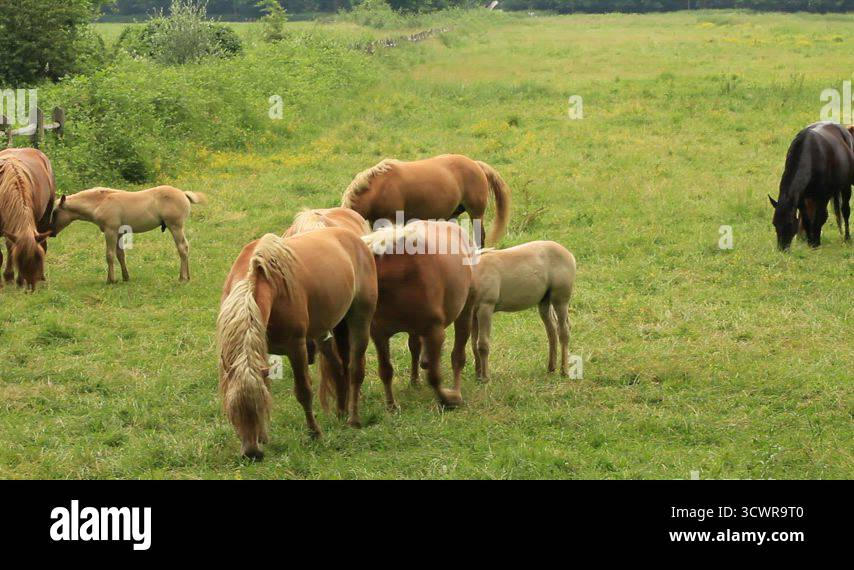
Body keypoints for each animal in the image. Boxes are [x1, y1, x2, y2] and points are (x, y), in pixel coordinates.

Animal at [50, 186, 207, 283]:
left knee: (182, 248)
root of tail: (183, 193)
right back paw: (186, 276)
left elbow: (110, 255)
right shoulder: (119, 233)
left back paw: (183, 278)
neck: (99, 202)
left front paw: (111, 280)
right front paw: (125, 277)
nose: (50, 232)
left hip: (175, 227)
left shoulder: (111, 231)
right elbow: (120, 255)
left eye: (55, 212)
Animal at [218, 228, 377, 458]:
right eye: (232, 410)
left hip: (360, 320)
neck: (269, 284)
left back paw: (353, 419)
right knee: (339, 369)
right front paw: (264, 437)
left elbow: (303, 391)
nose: (252, 453)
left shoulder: (296, 347)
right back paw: (340, 411)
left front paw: (314, 432)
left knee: (355, 370)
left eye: (260, 406)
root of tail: (355, 238)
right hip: (325, 332)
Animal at [358, 221, 476, 423]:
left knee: (457, 356)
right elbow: (386, 371)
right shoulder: (379, 334)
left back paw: (455, 390)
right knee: (415, 348)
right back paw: (415, 378)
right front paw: (391, 406)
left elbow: (434, 377)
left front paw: (448, 400)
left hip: (464, 312)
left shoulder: (434, 331)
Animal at [470, 241, 576, 381]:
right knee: (552, 331)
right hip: (544, 302)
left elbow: (482, 345)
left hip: (560, 301)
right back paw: (551, 368)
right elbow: (473, 345)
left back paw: (564, 371)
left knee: (563, 331)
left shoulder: (485, 309)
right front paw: (478, 375)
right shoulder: (472, 314)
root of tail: (568, 253)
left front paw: (486, 378)